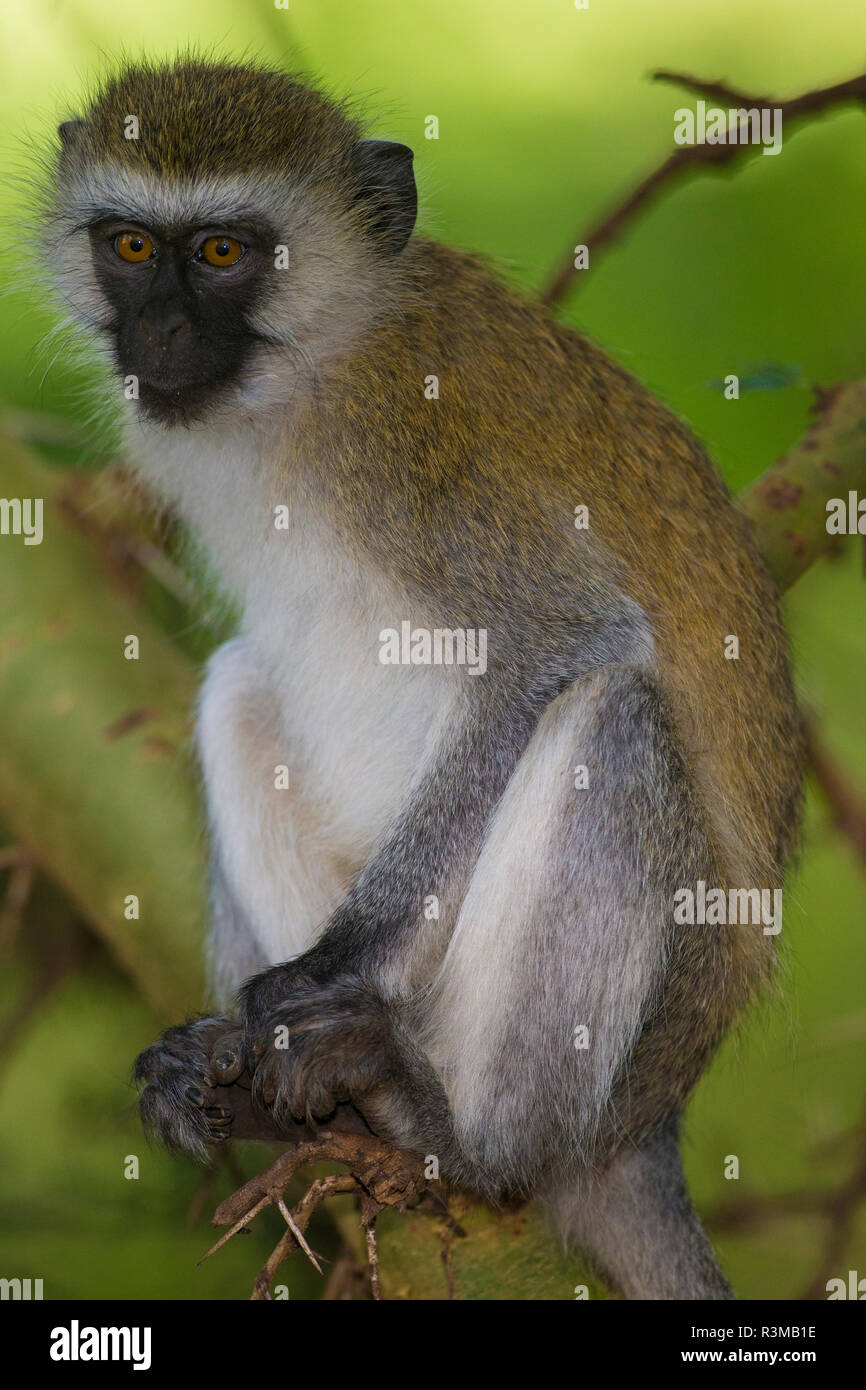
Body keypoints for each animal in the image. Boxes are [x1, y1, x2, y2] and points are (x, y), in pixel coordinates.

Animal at [43, 56, 802, 1300]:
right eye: (131, 246)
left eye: (224, 253)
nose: (158, 329)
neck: (304, 379)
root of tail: (651, 1123)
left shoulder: (417, 444)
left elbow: (556, 644)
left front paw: (326, 966)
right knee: (238, 683)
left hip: (638, 1038)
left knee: (613, 717)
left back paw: (451, 1129)